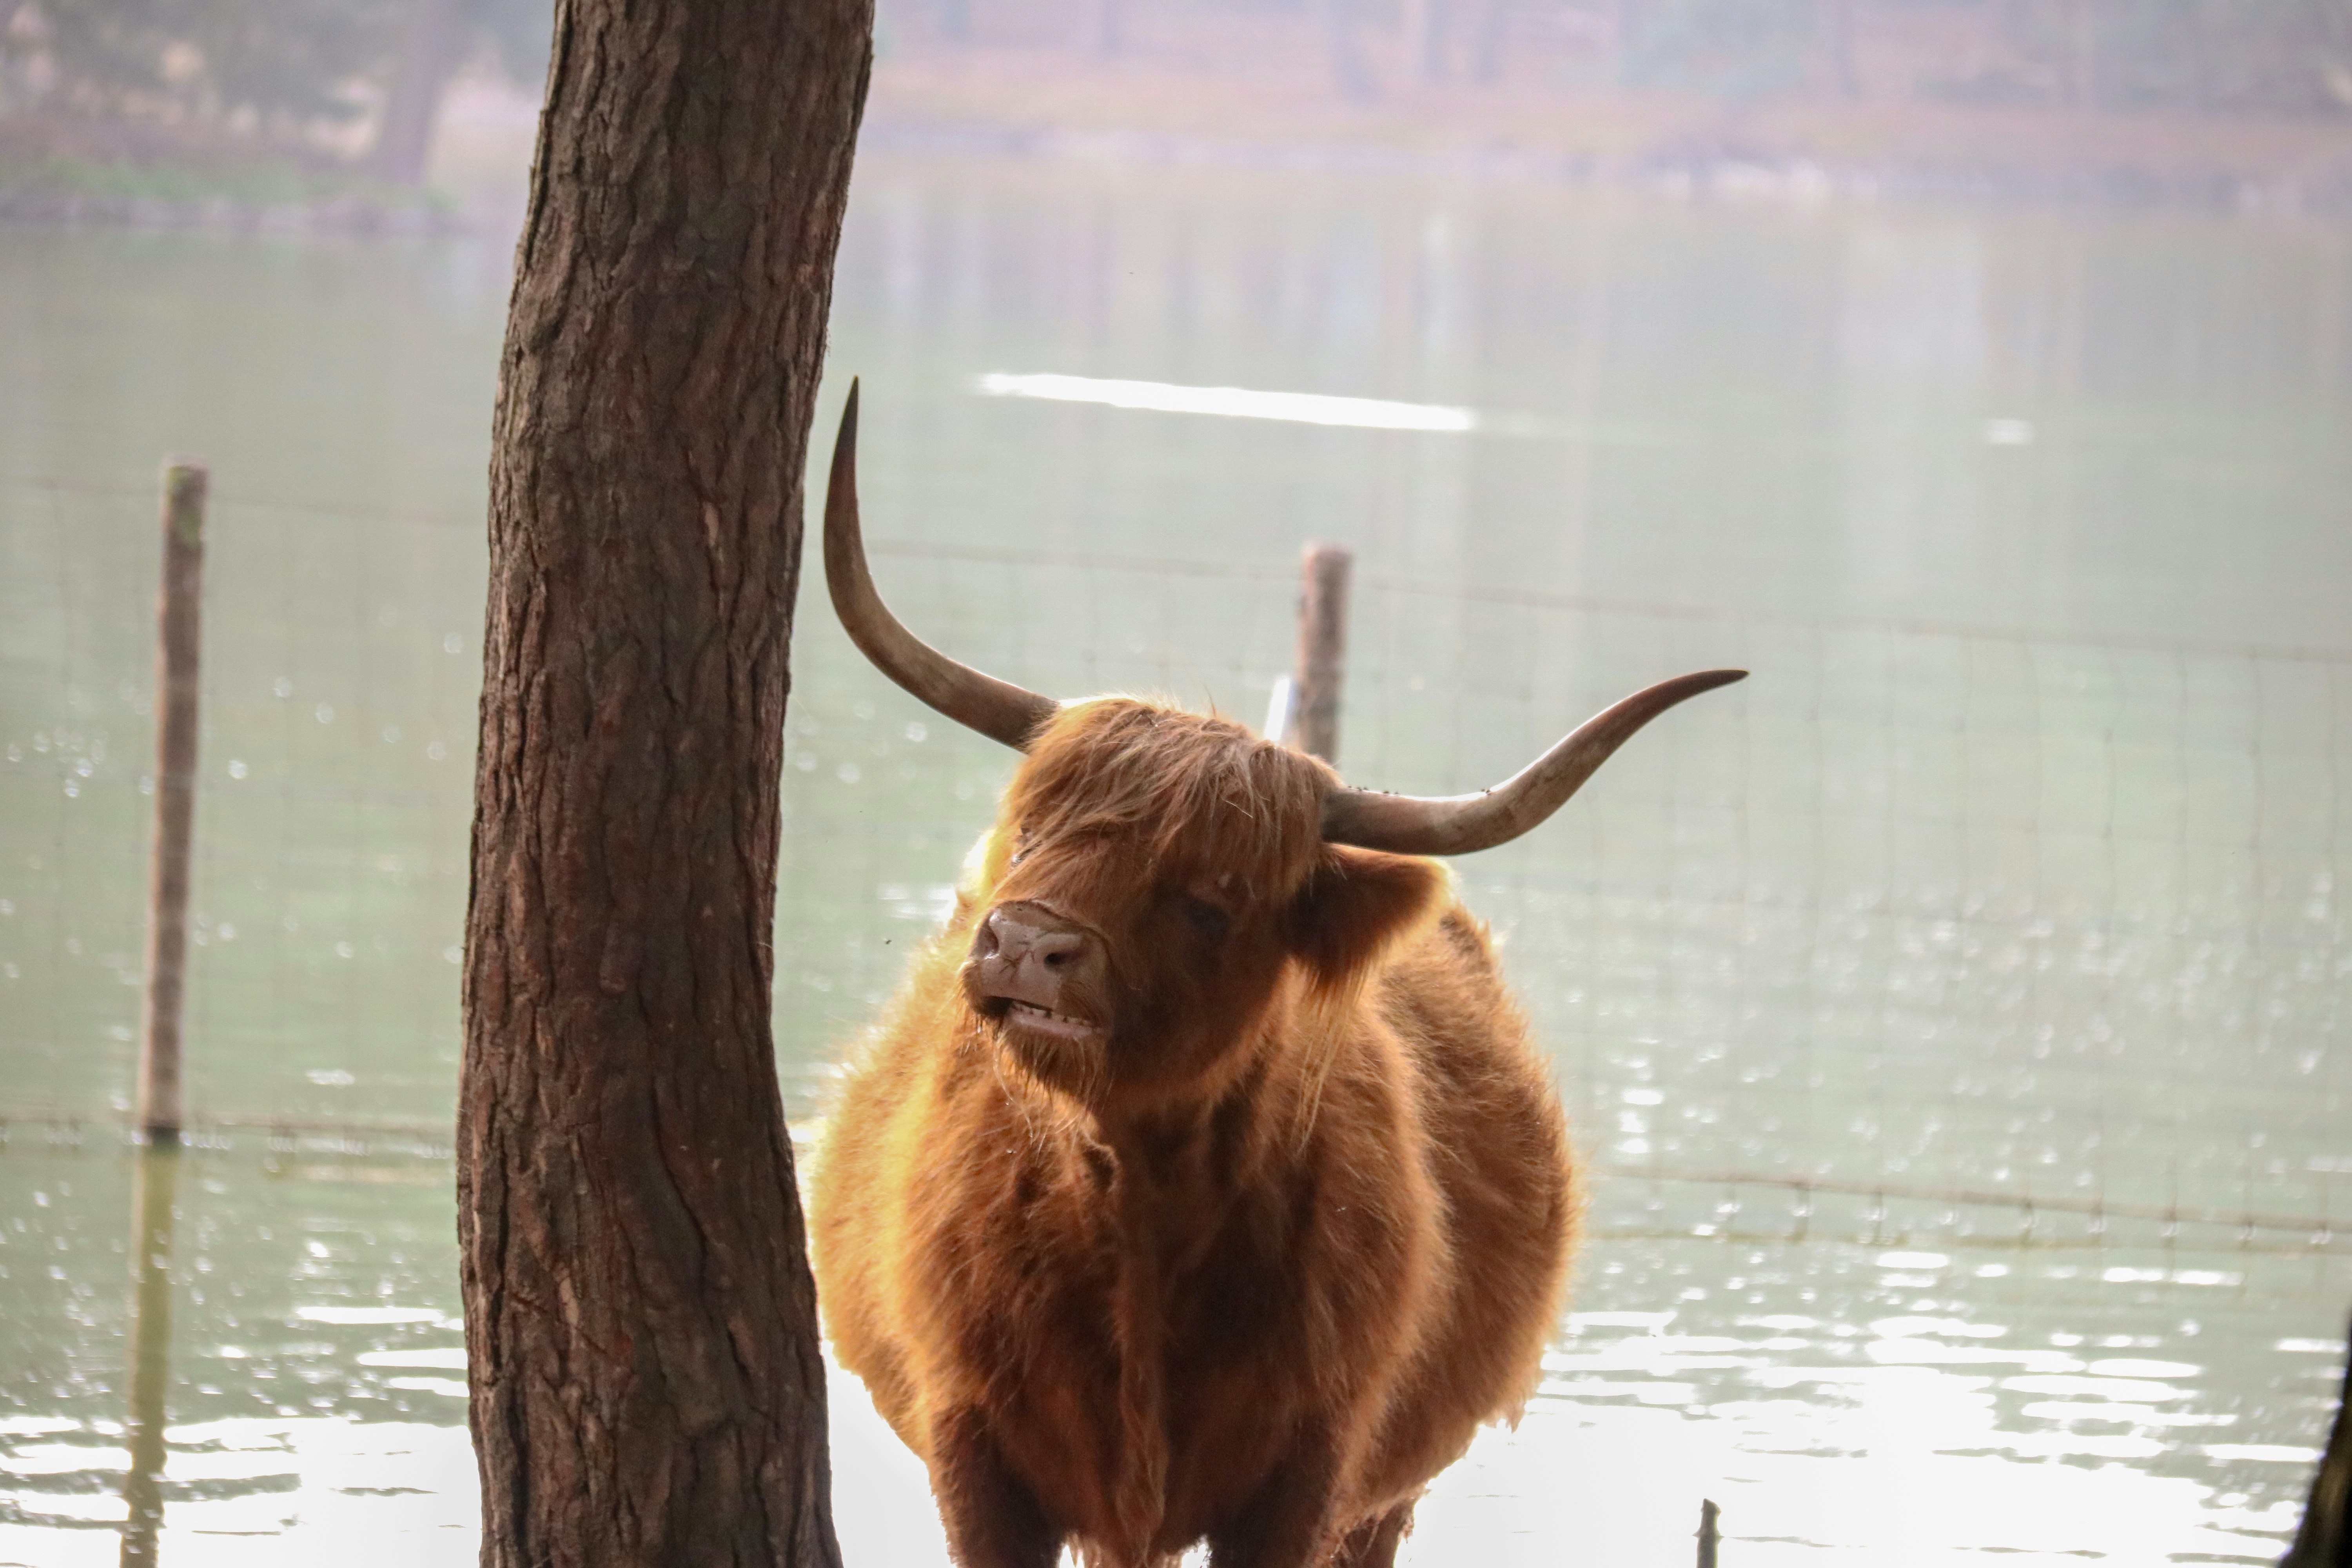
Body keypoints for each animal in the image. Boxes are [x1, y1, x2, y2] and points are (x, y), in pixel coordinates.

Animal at [806, 383, 1743, 1568]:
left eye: (1221, 890)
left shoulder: (1309, 1469)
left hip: (1388, 1494)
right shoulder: (972, 1446)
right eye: (1033, 831)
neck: (1132, 1200)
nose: (1023, 945)